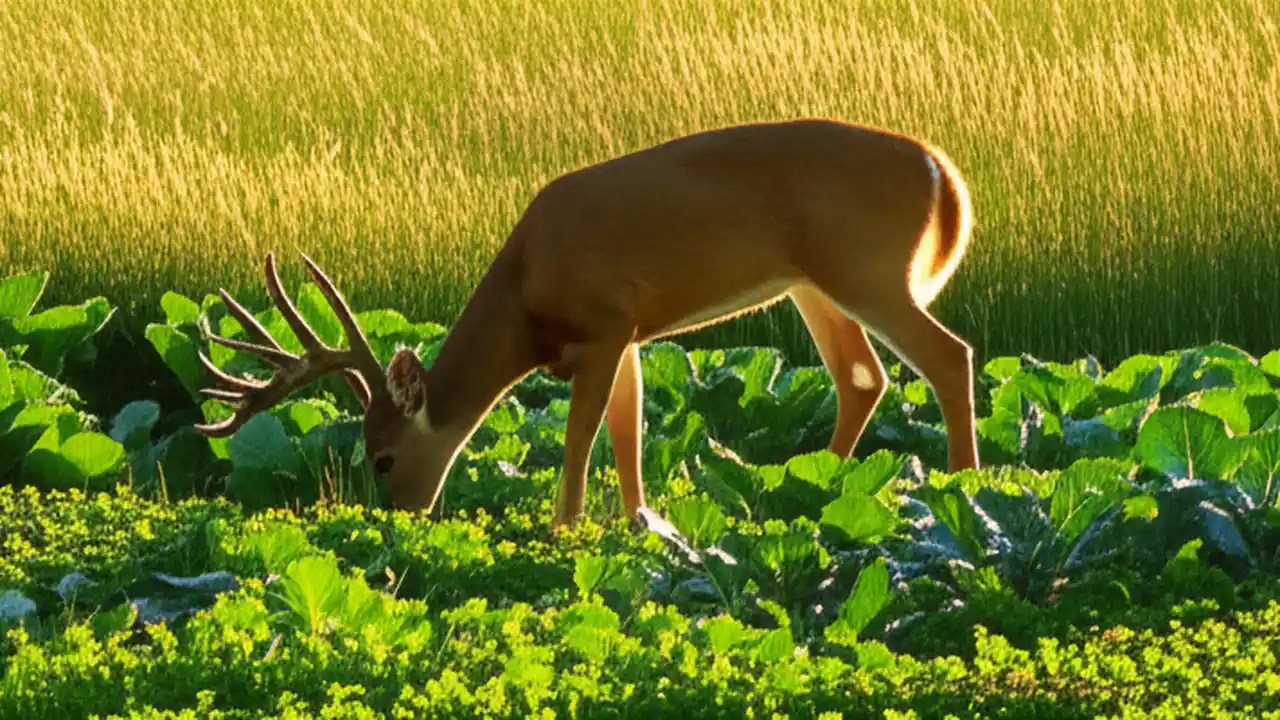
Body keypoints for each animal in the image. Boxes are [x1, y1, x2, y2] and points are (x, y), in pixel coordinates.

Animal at [194, 118, 980, 528]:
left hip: (867, 270)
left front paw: (565, 531)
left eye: (382, 457)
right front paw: (643, 525)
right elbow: (627, 433)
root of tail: (944, 171)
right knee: (863, 378)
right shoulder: (626, 334)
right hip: (812, 285)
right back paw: (804, 496)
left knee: (949, 356)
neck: (526, 292)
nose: (403, 516)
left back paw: (965, 488)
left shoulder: (602, 324)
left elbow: (581, 441)